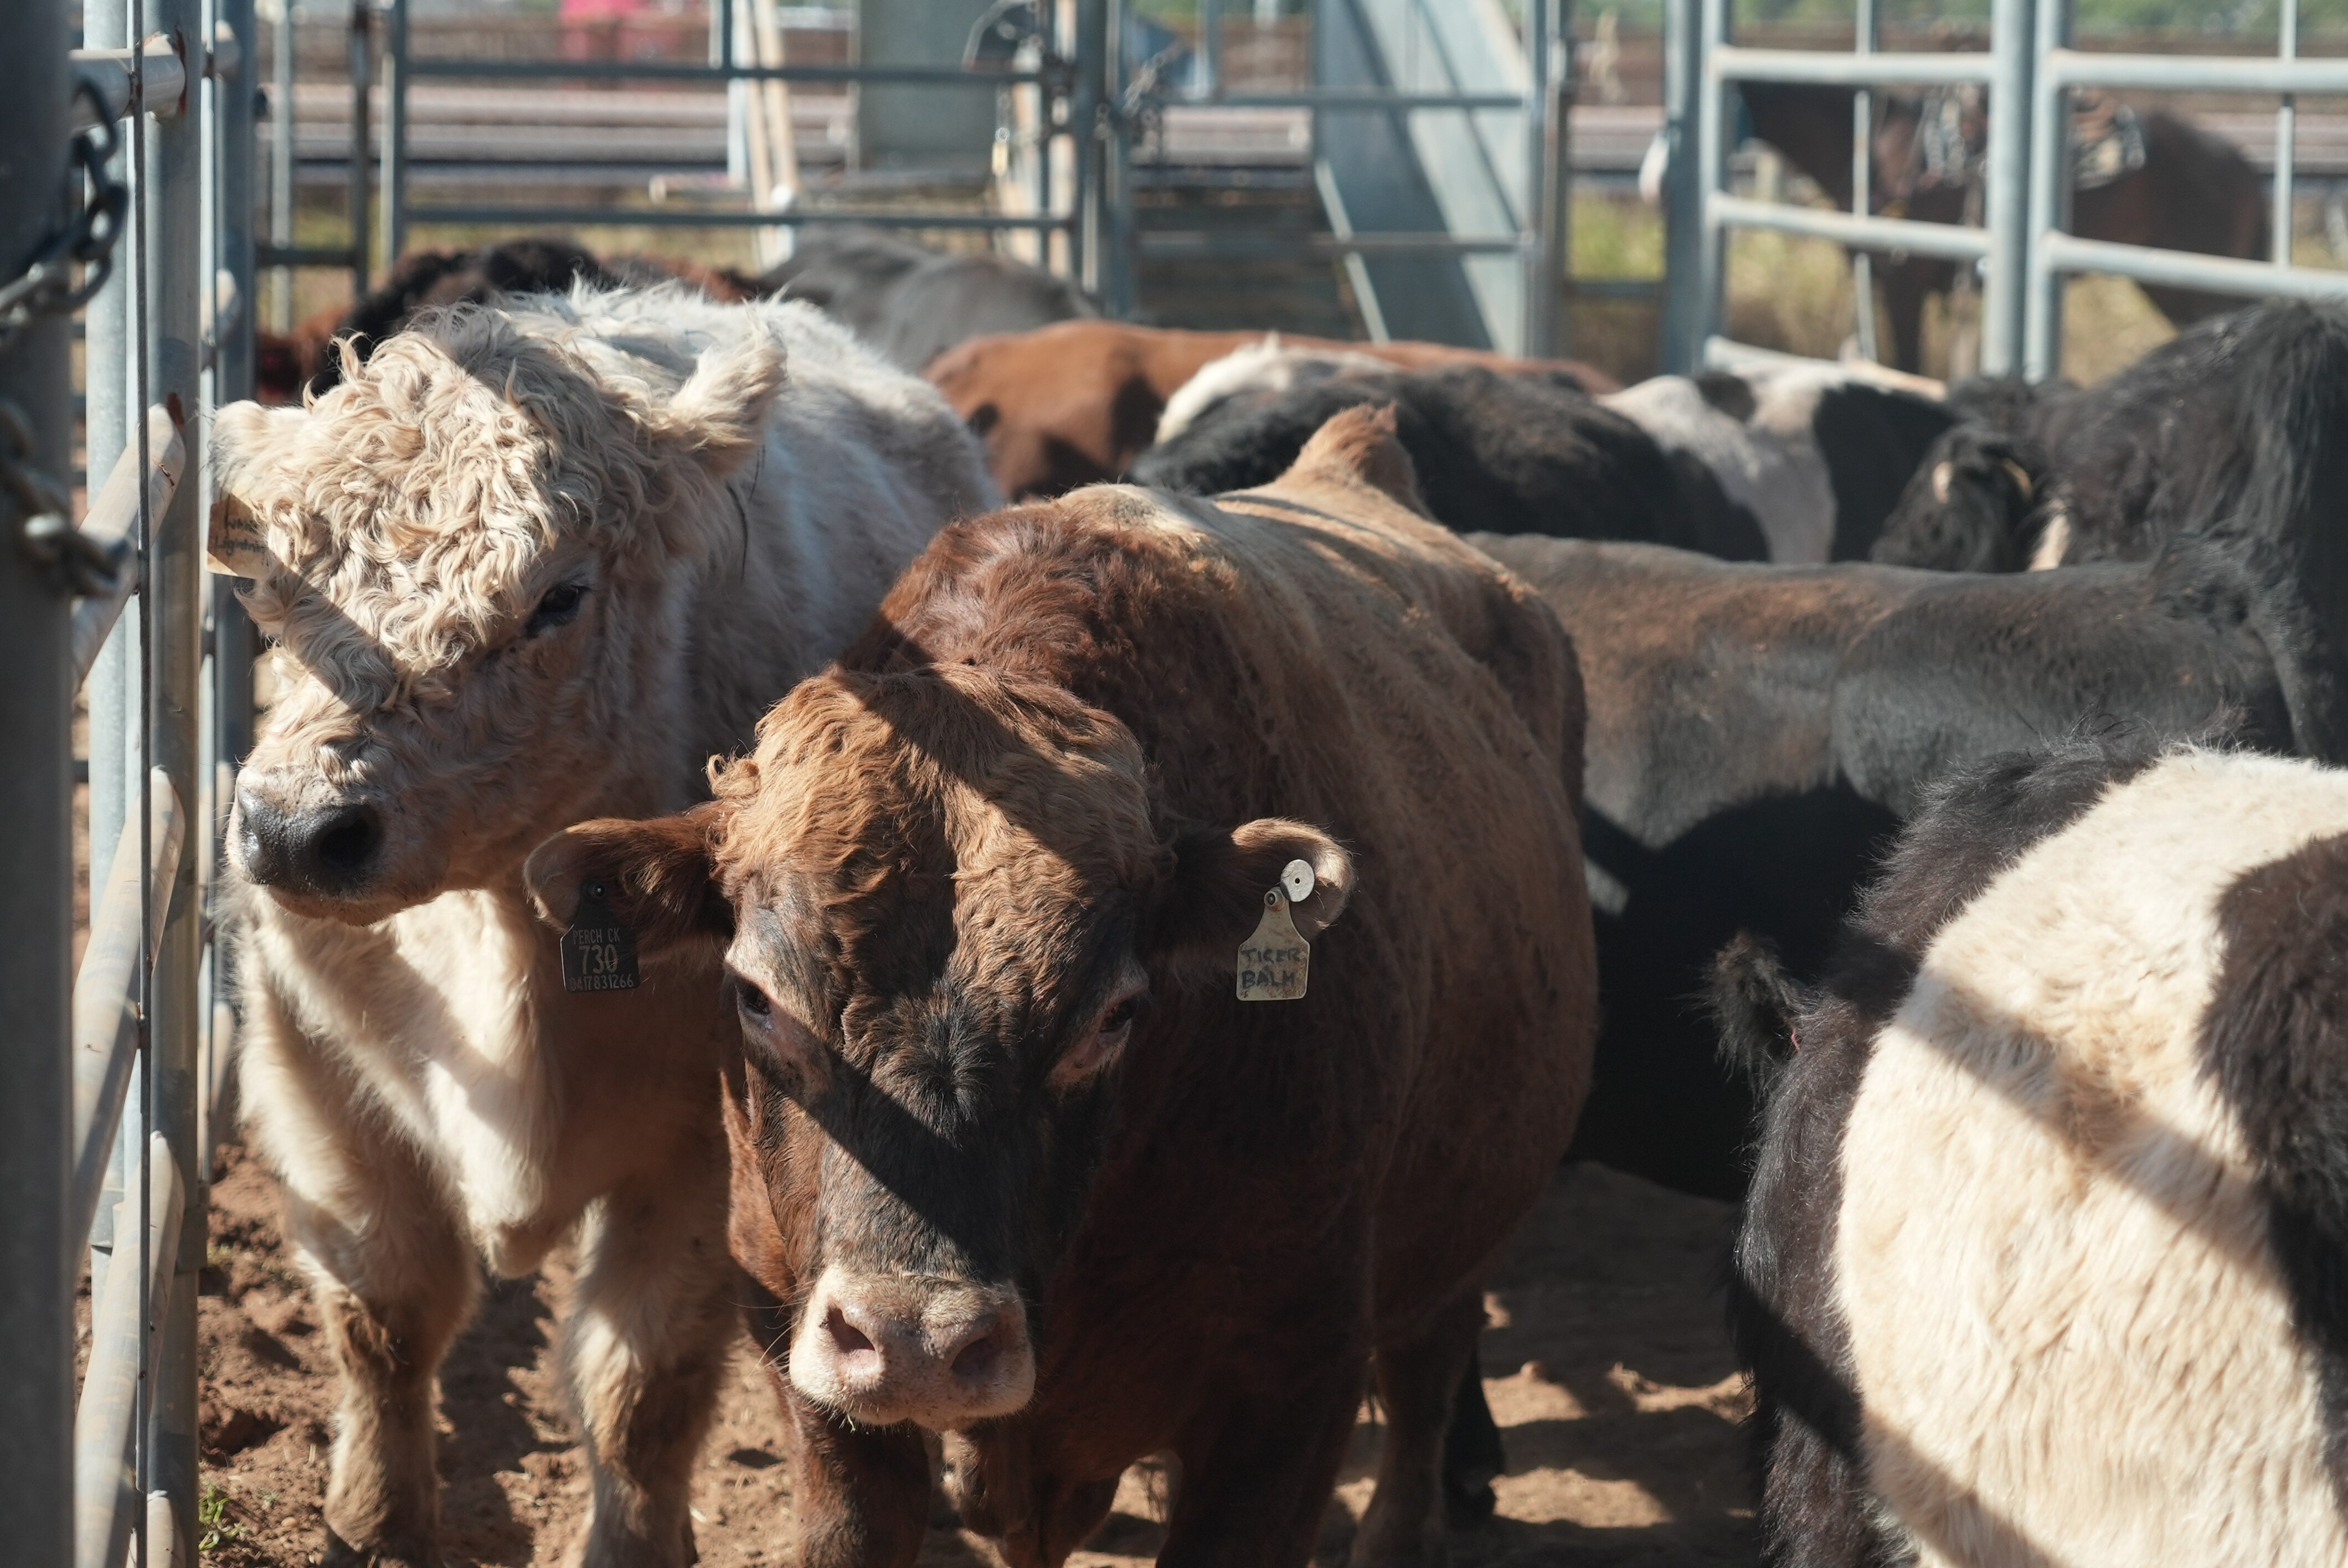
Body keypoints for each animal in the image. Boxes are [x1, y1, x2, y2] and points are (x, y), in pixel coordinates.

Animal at [214, 285, 997, 1568]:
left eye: (557, 597)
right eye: (271, 591)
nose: (294, 830)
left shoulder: (707, 1147)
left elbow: (643, 1383)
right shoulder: (315, 1071)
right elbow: (386, 1314)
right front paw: (374, 1525)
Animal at [522, 406, 1599, 1566]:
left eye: (1114, 1016)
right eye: (758, 999)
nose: (914, 1341)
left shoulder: (1289, 1401)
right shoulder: (811, 1378)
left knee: (1426, 1383)